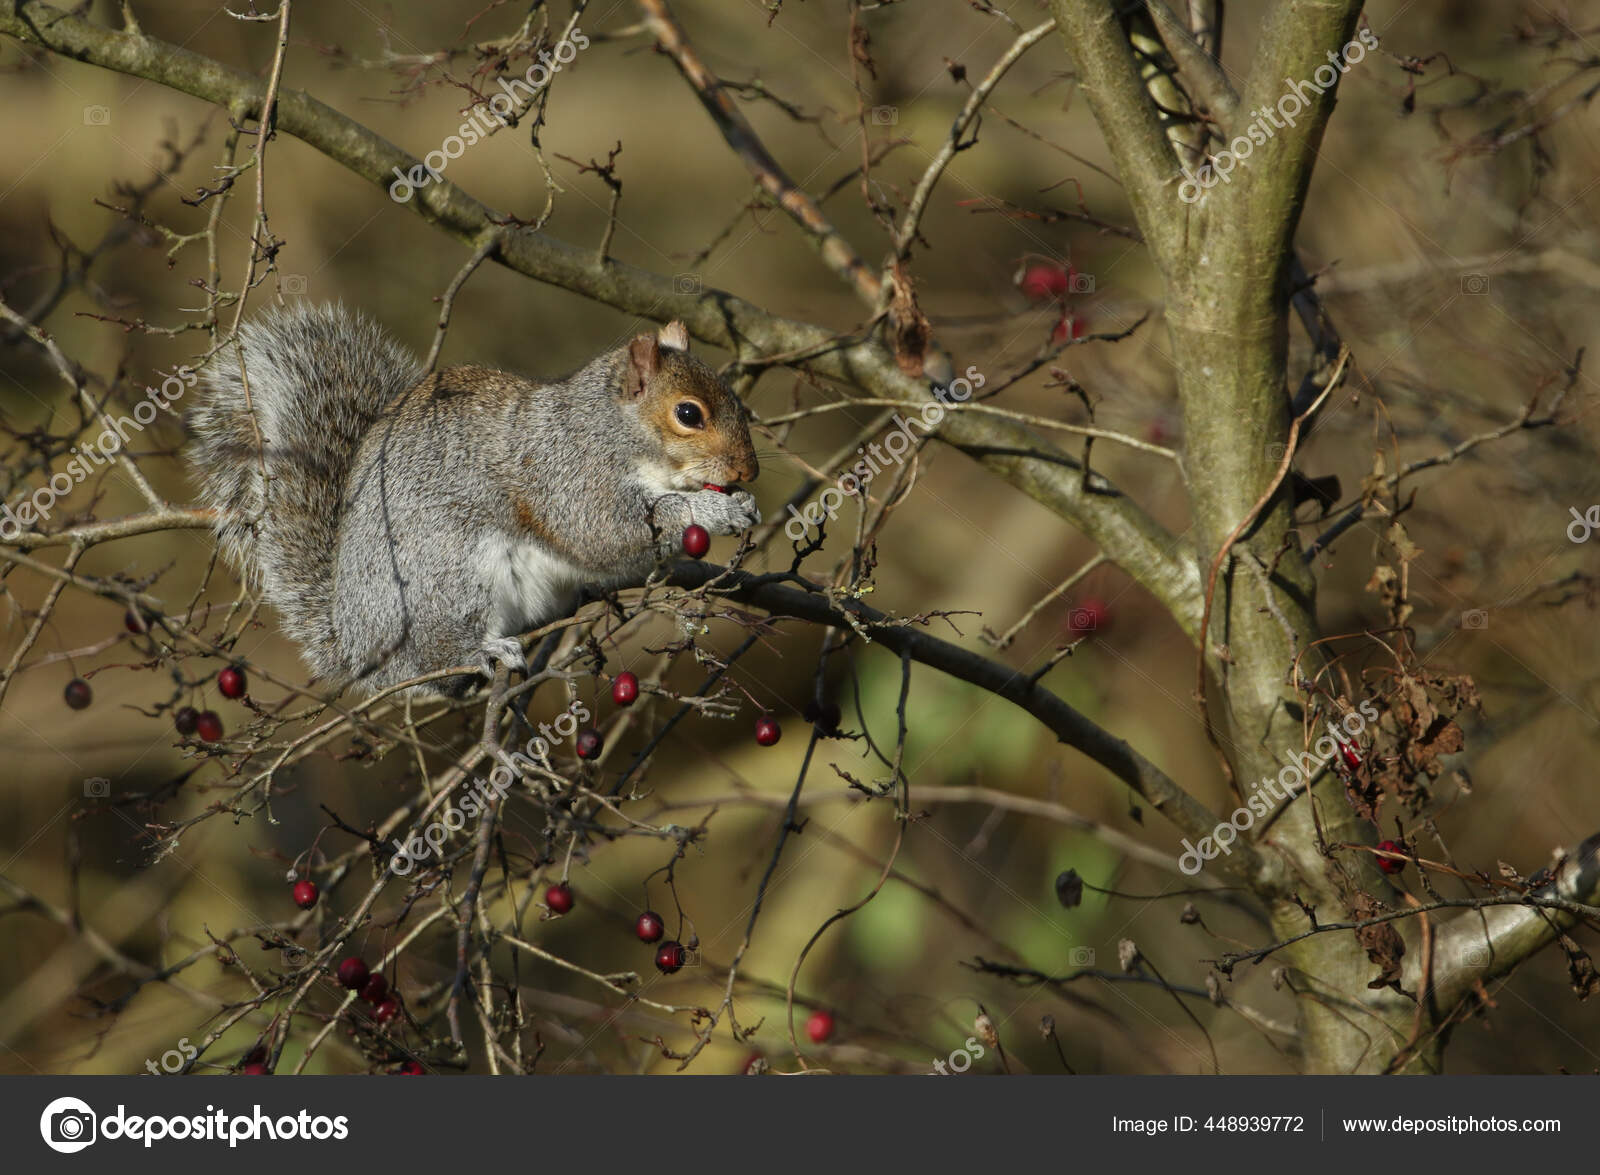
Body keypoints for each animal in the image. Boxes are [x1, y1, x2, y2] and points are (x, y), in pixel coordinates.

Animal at [188, 303, 760, 696]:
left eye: (739, 401)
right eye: (688, 414)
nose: (747, 470)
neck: (606, 427)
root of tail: (357, 645)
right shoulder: (565, 476)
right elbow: (603, 530)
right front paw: (716, 510)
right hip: (446, 578)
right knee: (438, 662)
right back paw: (479, 651)